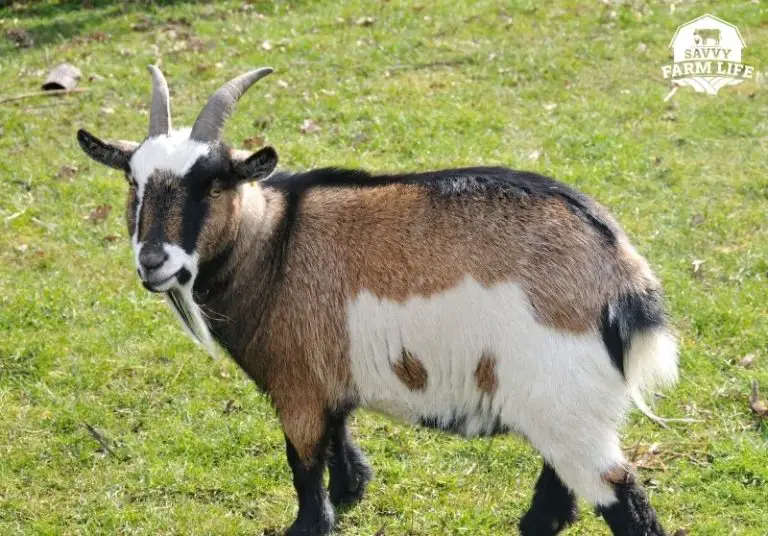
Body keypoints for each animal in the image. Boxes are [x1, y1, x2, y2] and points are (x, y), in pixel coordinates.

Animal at [76, 66, 679, 536]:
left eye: (214, 183)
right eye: (133, 181)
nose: (153, 260)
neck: (272, 247)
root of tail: (622, 277)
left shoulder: (296, 387)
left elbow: (303, 466)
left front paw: (310, 524)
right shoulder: (329, 378)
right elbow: (339, 440)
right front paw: (352, 489)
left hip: (566, 405)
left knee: (622, 498)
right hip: (562, 410)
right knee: (559, 494)